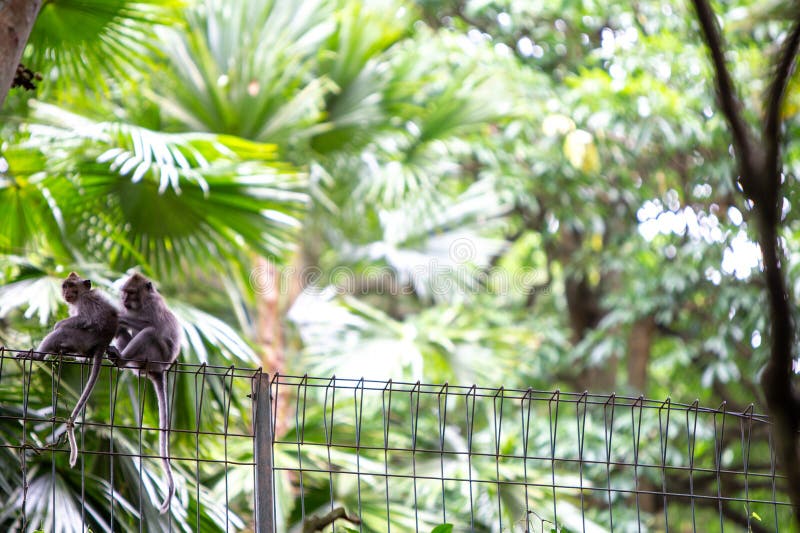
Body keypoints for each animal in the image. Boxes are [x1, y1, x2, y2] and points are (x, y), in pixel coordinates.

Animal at [35, 272, 119, 468]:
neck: (81, 295)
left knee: (64, 332)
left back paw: (38, 356)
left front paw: (58, 324)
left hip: (82, 338)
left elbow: (86, 320)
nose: (66, 293)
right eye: (64, 285)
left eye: (72, 285)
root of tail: (102, 343)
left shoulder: (86, 302)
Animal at [106, 272, 182, 514]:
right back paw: (119, 358)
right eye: (125, 293)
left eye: (131, 292)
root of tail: (158, 370)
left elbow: (149, 324)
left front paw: (117, 313)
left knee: (149, 332)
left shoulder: (153, 306)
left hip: (154, 355)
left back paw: (121, 359)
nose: (124, 300)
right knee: (125, 333)